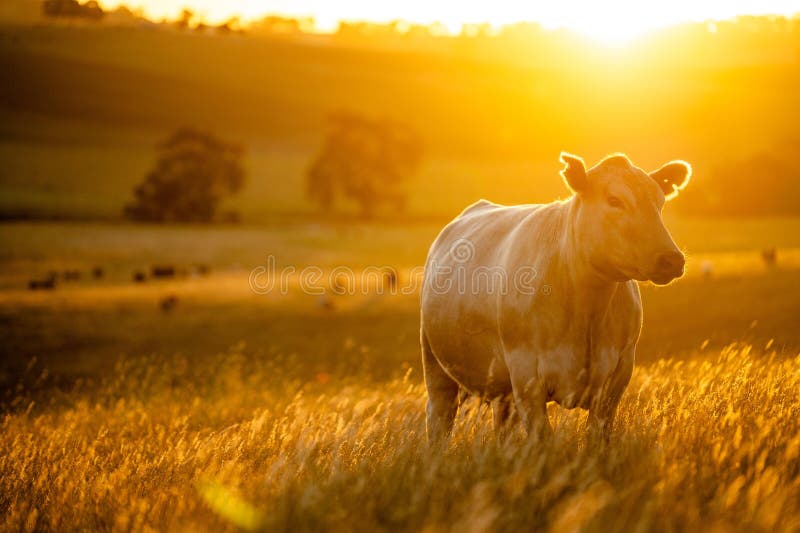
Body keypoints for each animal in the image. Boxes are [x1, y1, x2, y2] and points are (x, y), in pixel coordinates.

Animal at [420, 152, 691, 444]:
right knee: (439, 419)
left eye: (660, 202)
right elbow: (543, 440)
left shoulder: (617, 377)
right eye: (614, 200)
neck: (587, 310)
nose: (671, 259)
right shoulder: (526, 377)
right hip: (435, 366)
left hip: (501, 389)